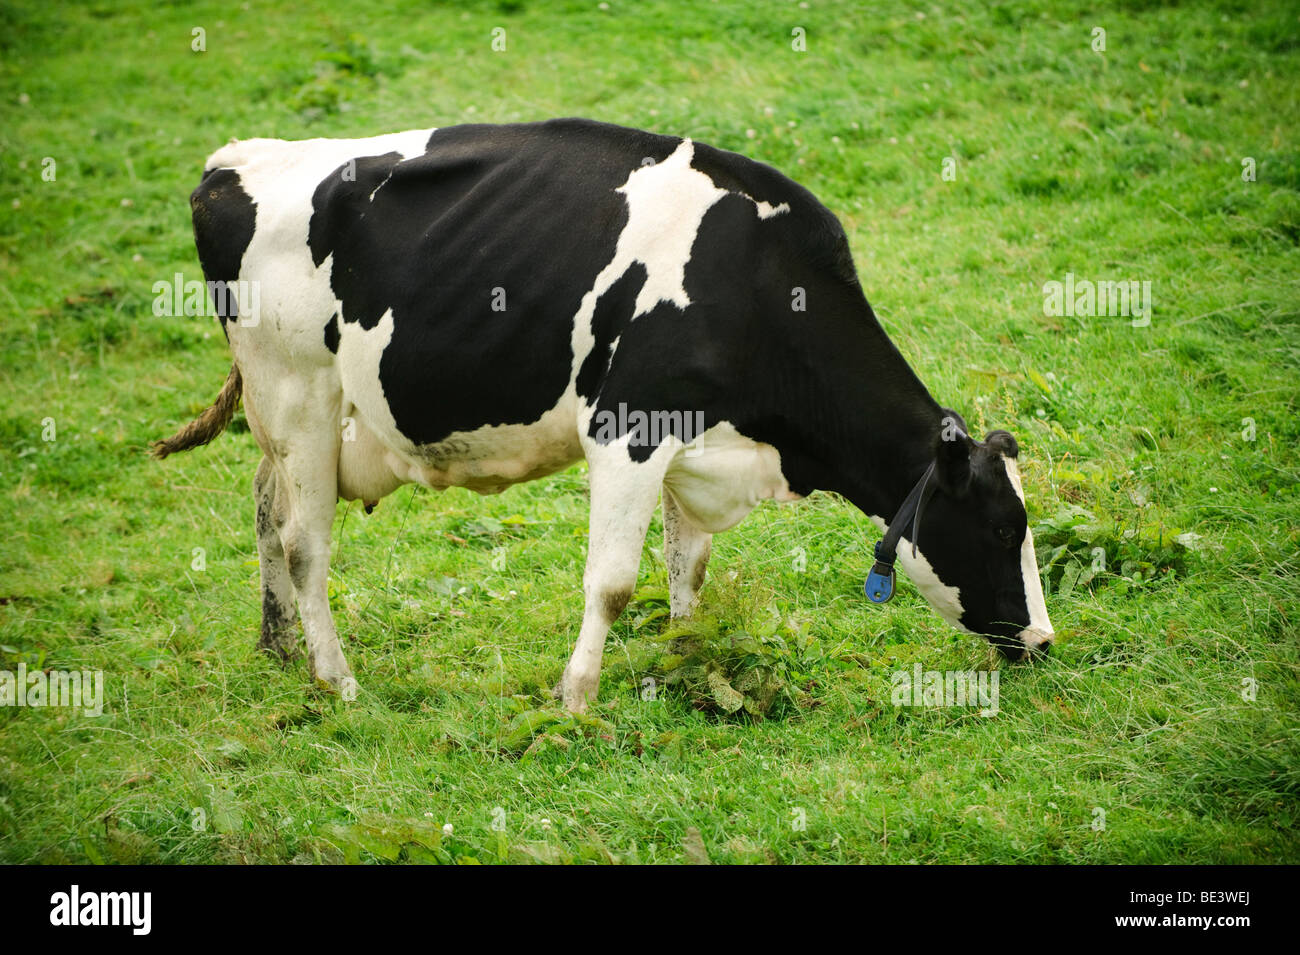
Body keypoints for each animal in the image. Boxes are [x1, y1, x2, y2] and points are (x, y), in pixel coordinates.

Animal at [153, 118, 1054, 713]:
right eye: (1003, 527)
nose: (1044, 641)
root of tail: (236, 161)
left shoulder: (693, 442)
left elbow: (688, 567)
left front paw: (687, 655)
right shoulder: (629, 428)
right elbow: (614, 580)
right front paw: (577, 695)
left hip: (297, 417)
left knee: (265, 506)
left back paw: (277, 648)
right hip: (297, 390)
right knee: (304, 543)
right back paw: (335, 679)